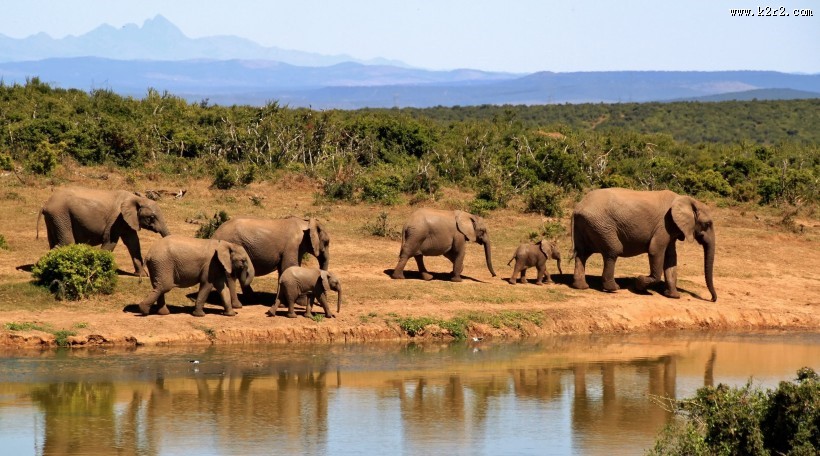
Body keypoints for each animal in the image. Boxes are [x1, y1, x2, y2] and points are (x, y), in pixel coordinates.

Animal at [37, 187, 170, 276]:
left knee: (55, 242)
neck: (136, 198)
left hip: (54, 218)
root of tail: (45, 205)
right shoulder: (116, 219)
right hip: (61, 215)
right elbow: (111, 242)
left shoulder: (127, 221)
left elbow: (133, 243)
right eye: (152, 217)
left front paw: (142, 275)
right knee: (66, 242)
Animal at [571, 188, 717, 301]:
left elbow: (671, 258)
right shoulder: (664, 225)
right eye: (707, 224)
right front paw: (639, 284)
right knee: (613, 251)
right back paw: (613, 288)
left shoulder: (671, 228)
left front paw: (673, 296)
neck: (686, 199)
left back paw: (581, 286)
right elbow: (655, 251)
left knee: (582, 253)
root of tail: (577, 207)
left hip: (587, 225)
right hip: (602, 225)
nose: (712, 299)